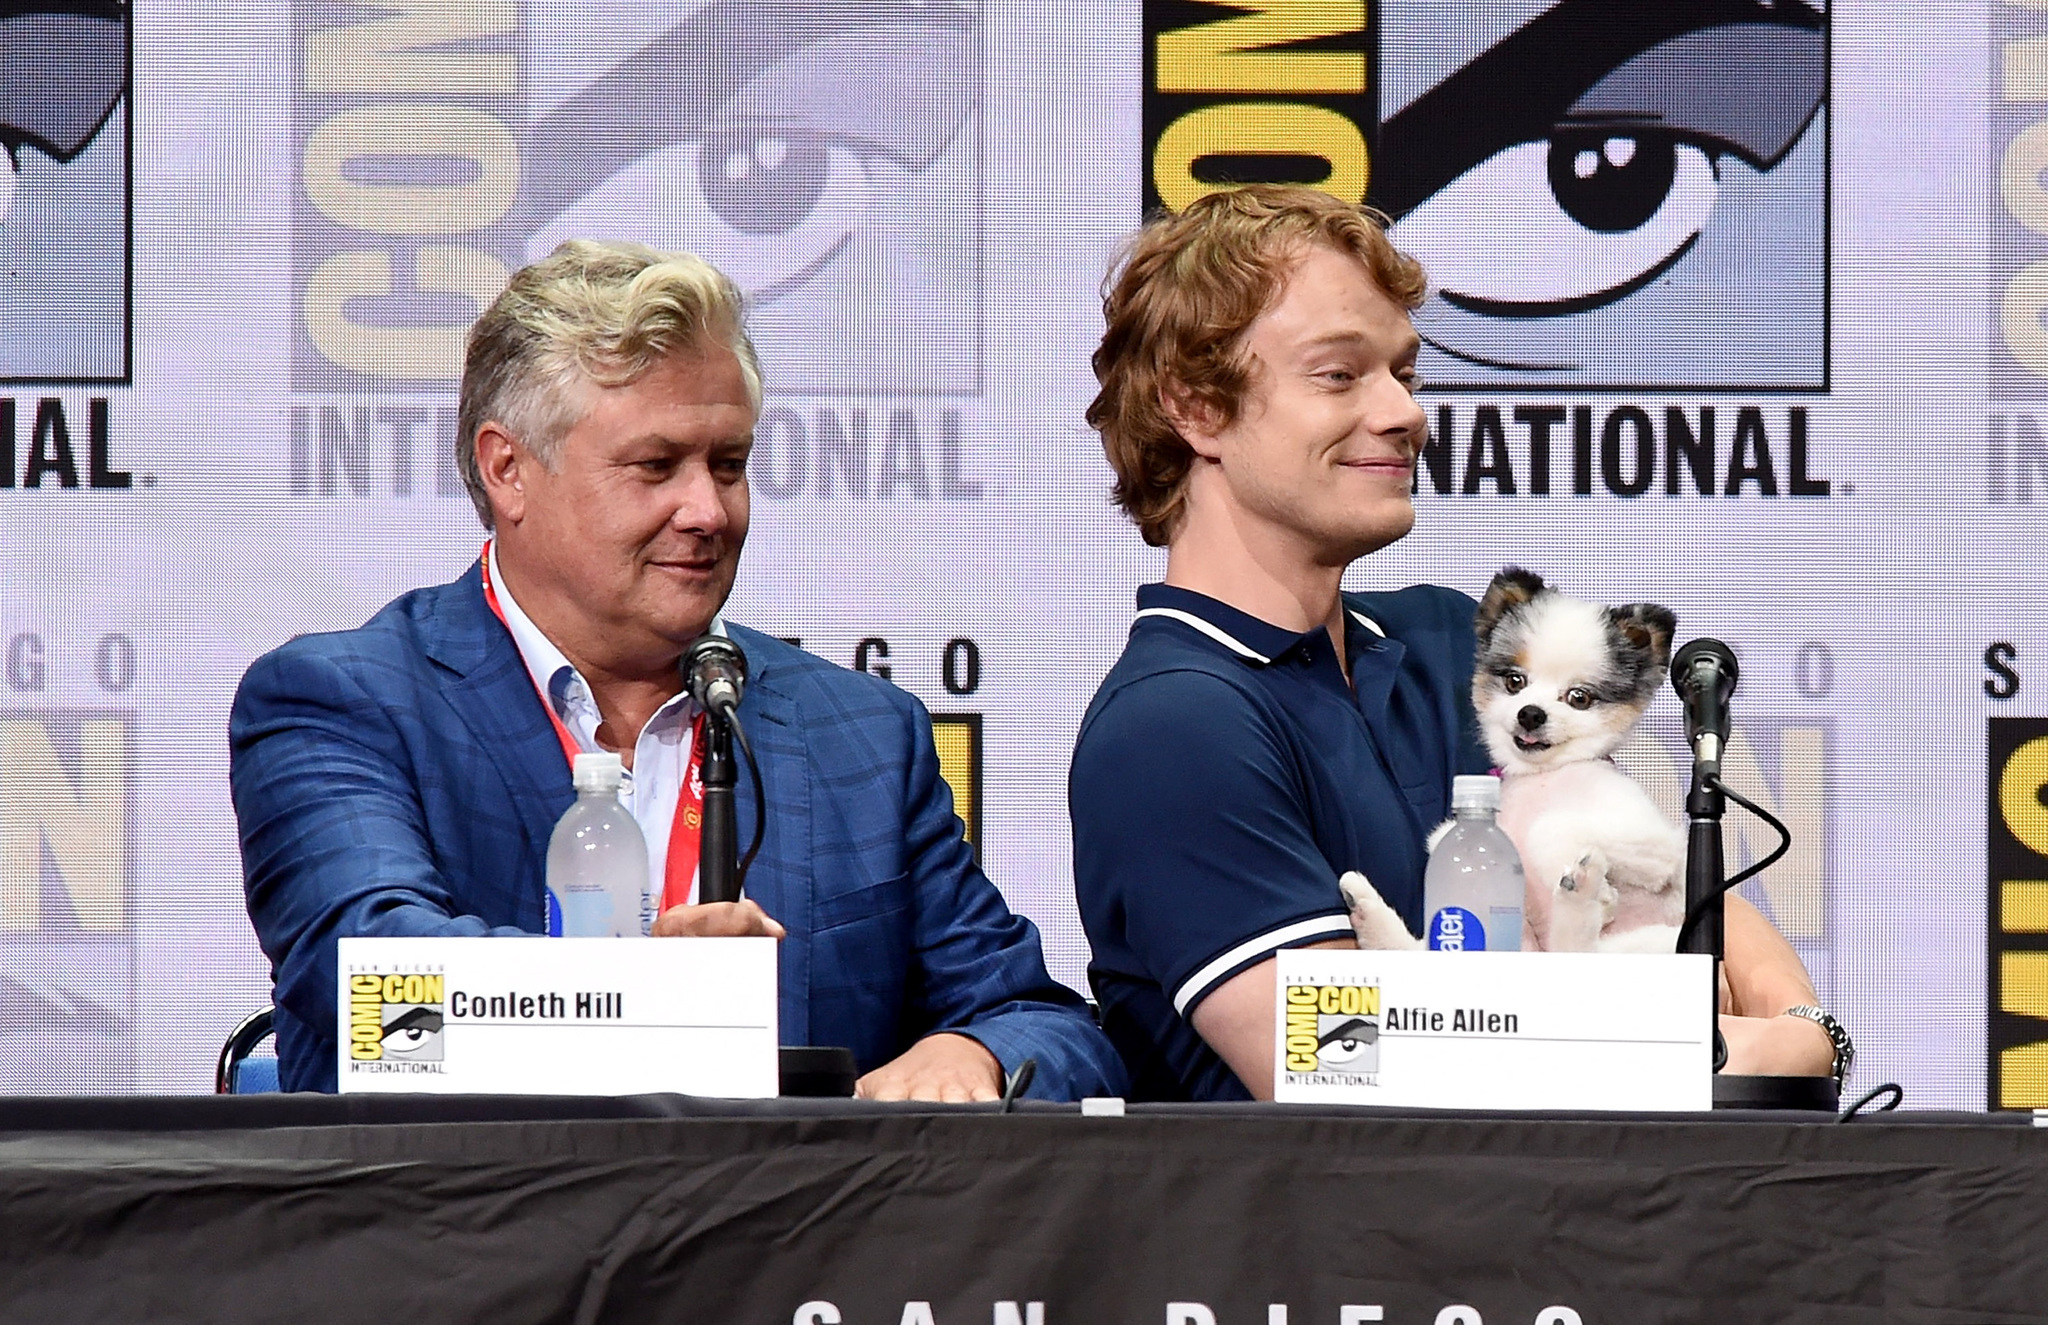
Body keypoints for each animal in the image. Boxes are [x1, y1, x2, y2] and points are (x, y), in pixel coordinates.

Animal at [1335, 569, 1687, 954]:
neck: (1544, 777)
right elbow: (1444, 837)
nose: (1530, 714)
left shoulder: (1661, 848)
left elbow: (1549, 829)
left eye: (1579, 697)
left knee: (1578, 950)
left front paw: (1603, 895)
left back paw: (1583, 887)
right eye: (1515, 681)